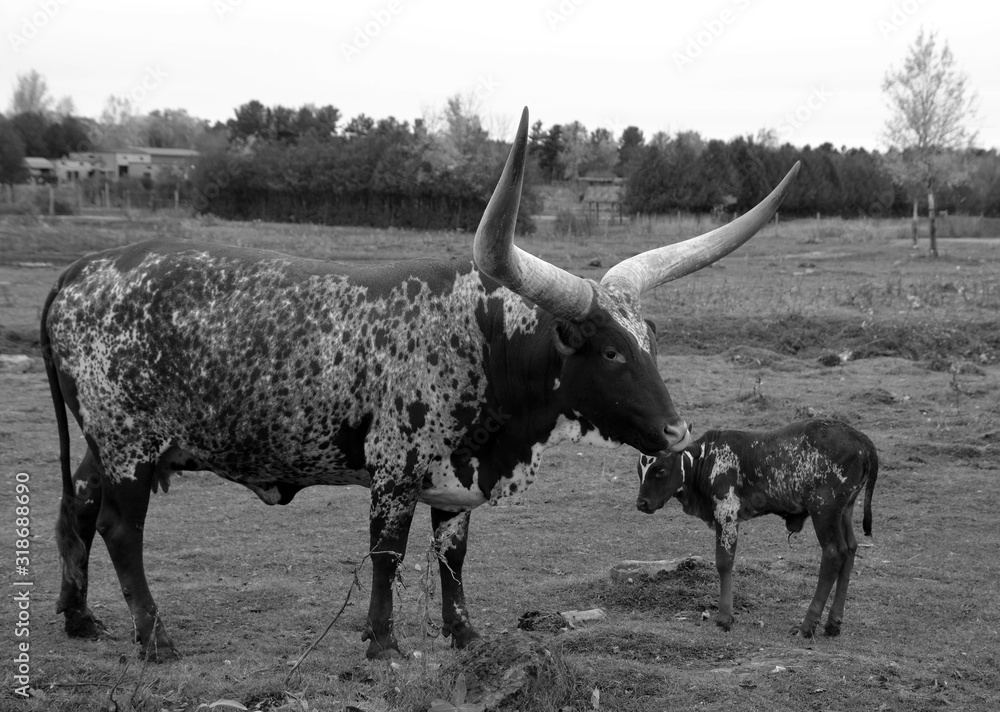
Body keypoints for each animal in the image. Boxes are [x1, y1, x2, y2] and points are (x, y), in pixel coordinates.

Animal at [43, 106, 800, 660]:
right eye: (610, 352)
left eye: (651, 341)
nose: (677, 432)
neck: (484, 338)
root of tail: (82, 270)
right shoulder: (395, 467)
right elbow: (388, 554)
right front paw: (382, 644)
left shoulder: (457, 472)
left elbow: (452, 555)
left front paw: (463, 634)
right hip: (130, 444)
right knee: (118, 527)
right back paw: (154, 638)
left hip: (104, 443)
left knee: (76, 506)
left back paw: (79, 619)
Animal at [635, 419, 878, 637]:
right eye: (639, 470)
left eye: (660, 470)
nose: (641, 503)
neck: (706, 459)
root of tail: (860, 438)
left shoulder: (726, 513)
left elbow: (724, 562)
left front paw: (724, 618)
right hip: (844, 510)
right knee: (850, 548)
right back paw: (833, 623)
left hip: (824, 511)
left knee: (834, 553)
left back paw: (807, 626)